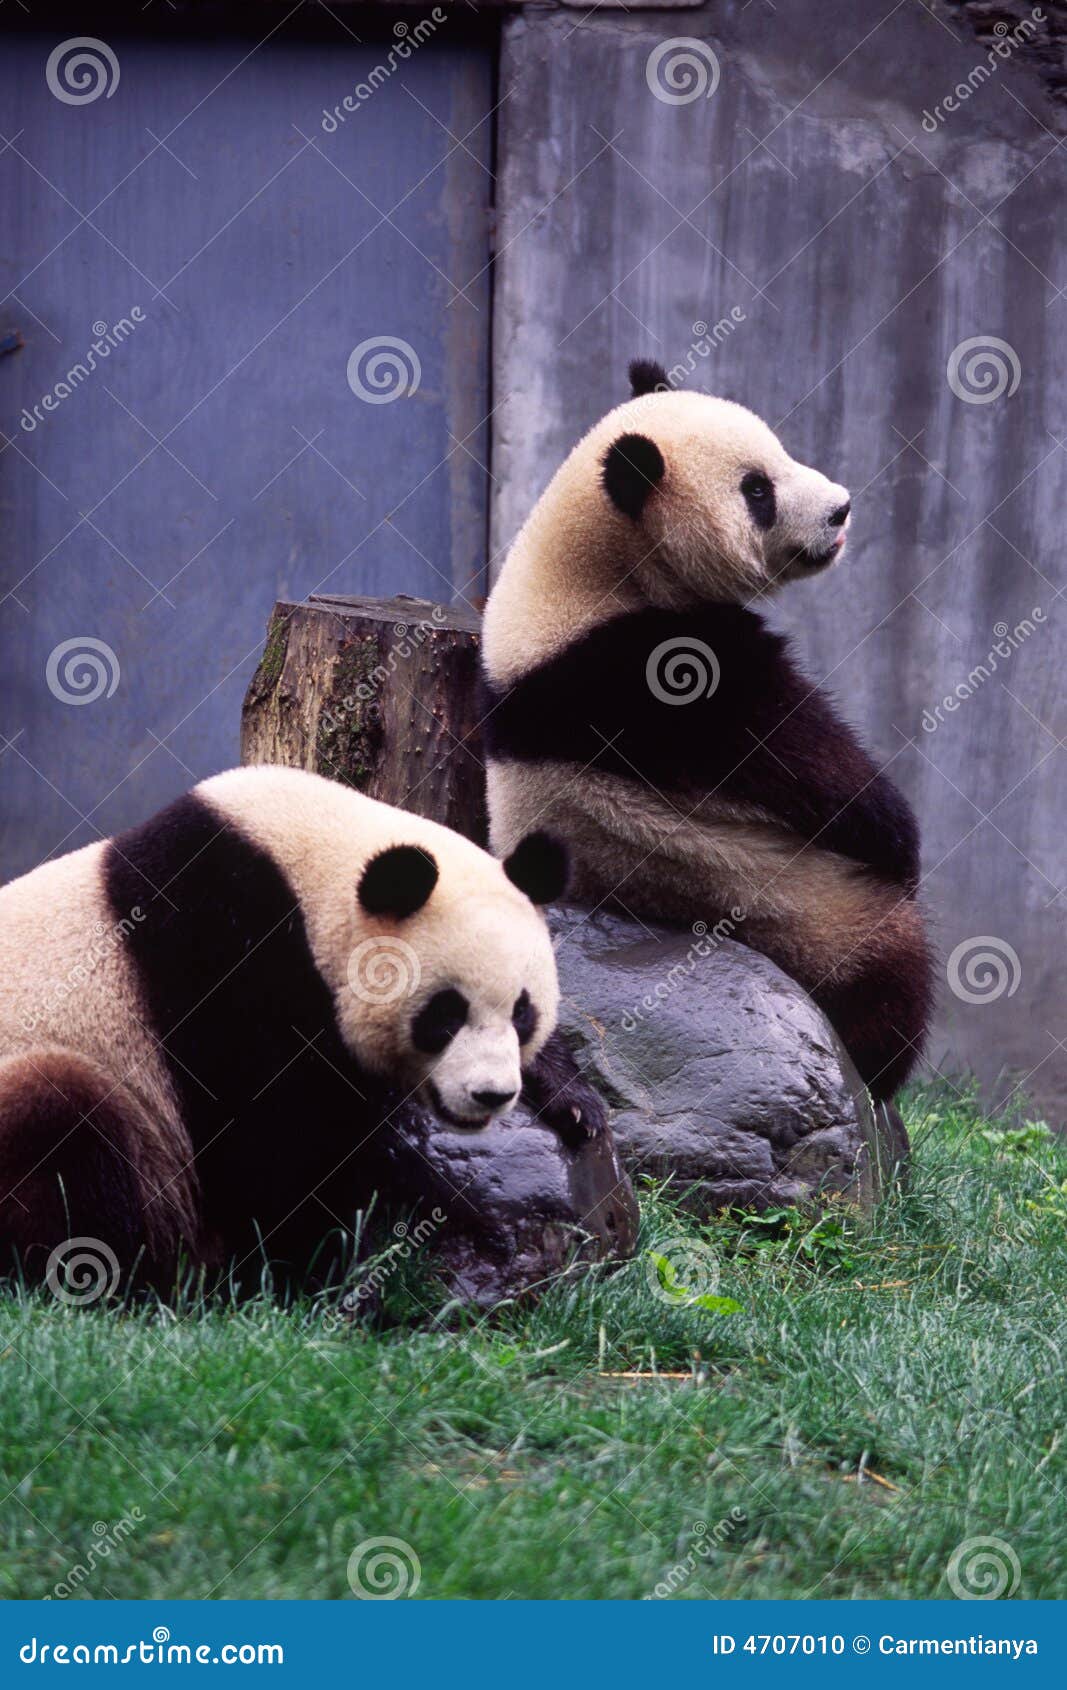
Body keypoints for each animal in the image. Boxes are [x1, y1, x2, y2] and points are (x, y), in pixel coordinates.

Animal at [0, 765, 602, 1288]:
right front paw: (324, 1268)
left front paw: (575, 1101)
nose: (491, 1094)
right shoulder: (221, 954)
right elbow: (270, 1143)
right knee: (58, 1124)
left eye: (522, 1012)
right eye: (446, 1013)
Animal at [480, 360, 934, 1103]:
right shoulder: (645, 670)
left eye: (780, 452)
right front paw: (899, 836)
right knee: (891, 966)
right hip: (786, 906)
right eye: (757, 491)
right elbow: (803, 760)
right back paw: (877, 1070)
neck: (588, 569)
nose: (839, 508)